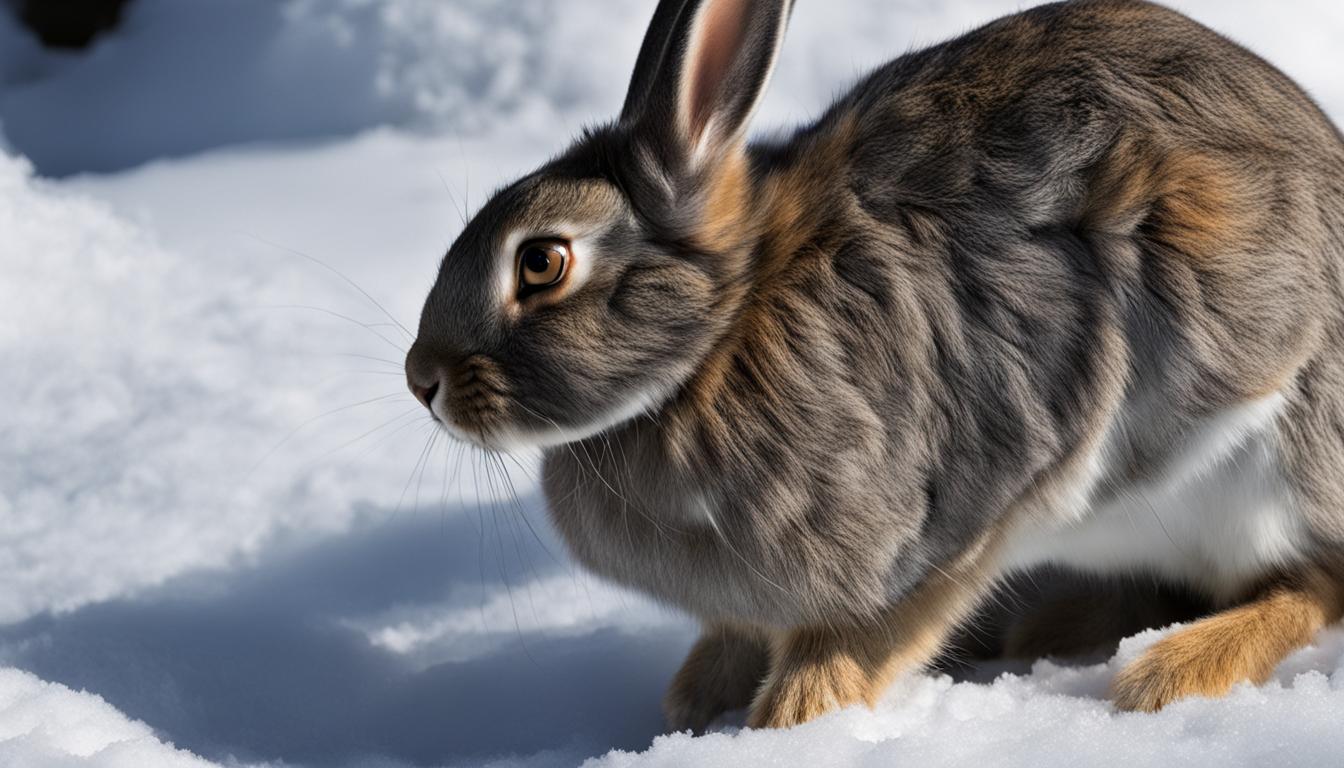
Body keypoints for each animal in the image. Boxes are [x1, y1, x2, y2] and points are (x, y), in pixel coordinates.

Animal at [405, 0, 1344, 730]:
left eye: (543, 263)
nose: (422, 381)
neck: (726, 331)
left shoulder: (960, 513)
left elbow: (866, 639)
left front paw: (790, 719)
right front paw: (699, 700)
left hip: (1275, 462)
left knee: (1315, 582)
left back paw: (1165, 672)